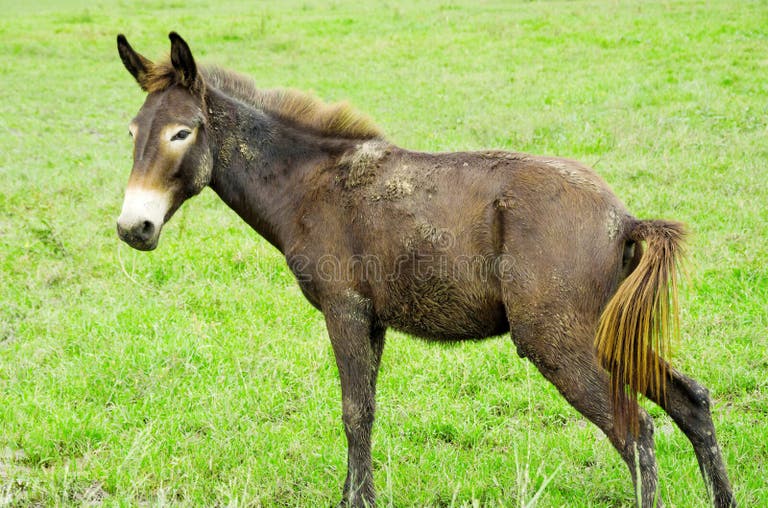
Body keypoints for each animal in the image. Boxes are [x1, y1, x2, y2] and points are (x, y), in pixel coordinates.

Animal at [115, 32, 735, 507]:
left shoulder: (344, 311)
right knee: (692, 402)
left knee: (637, 433)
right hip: (606, 332)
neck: (310, 184)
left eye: (181, 132)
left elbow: (354, 412)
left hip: (557, 341)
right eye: (132, 132)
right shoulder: (373, 321)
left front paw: (358, 501)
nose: (132, 227)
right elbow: (365, 412)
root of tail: (623, 218)